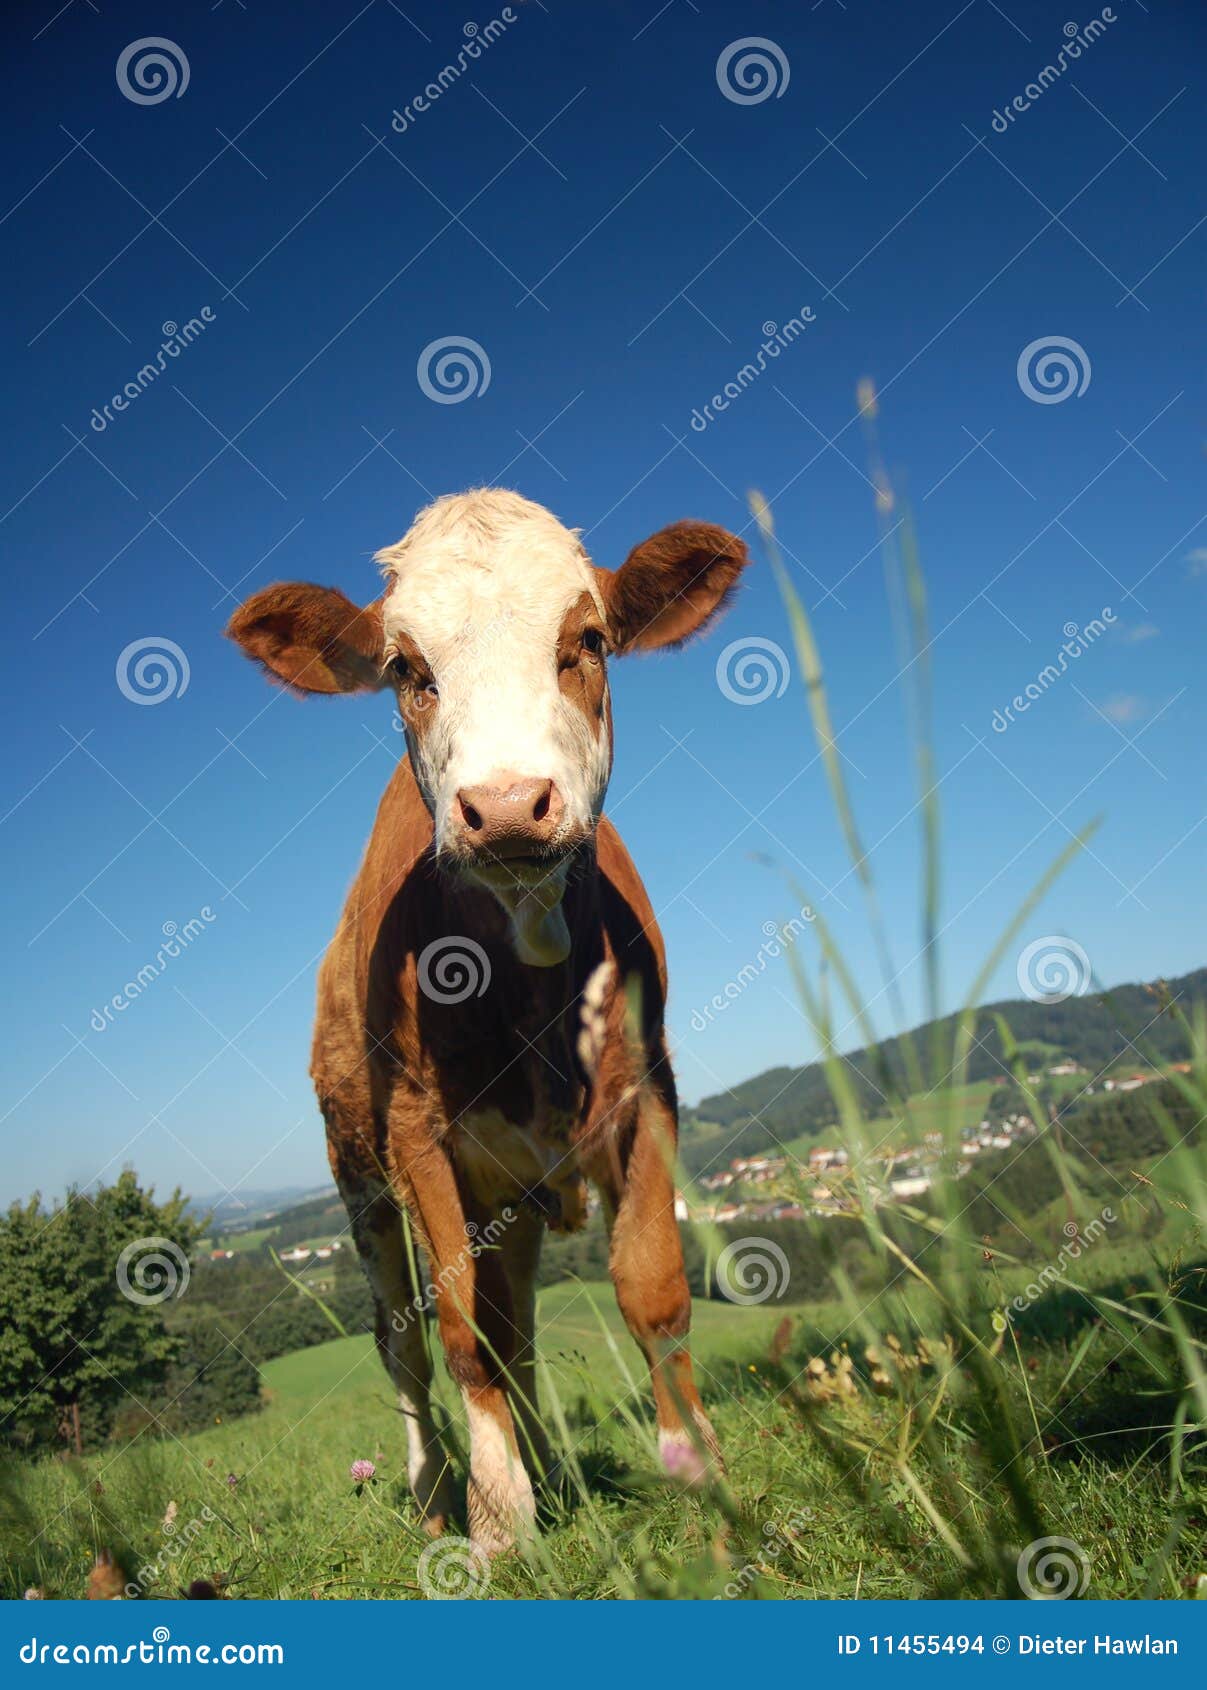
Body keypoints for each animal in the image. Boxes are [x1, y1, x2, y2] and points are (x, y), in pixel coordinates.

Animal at [226, 489, 749, 1553]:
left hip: (511, 1197)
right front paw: (499, 1523)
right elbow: (459, 1330)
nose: (506, 806)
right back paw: (437, 1494)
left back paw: (549, 1468)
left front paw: (703, 1483)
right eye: (403, 667)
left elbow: (652, 1295)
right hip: (359, 1178)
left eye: (587, 640)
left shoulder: (647, 1090)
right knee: (406, 1339)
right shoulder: (413, 1130)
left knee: (520, 1331)